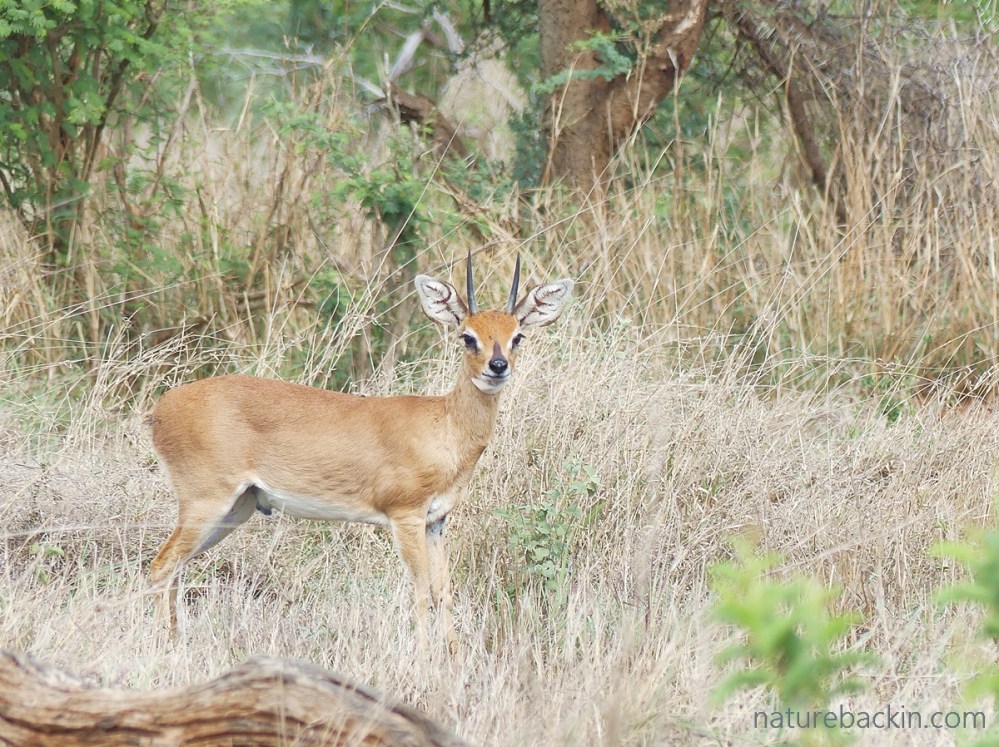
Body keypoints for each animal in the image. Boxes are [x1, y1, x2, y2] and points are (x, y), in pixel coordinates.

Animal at [147, 254, 573, 648]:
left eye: (517, 336)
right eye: (468, 336)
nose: (497, 366)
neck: (444, 424)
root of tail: (160, 409)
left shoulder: (436, 521)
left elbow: (443, 591)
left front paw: (451, 656)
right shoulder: (405, 516)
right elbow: (421, 592)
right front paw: (424, 659)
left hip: (236, 509)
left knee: (176, 569)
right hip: (207, 501)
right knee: (160, 566)